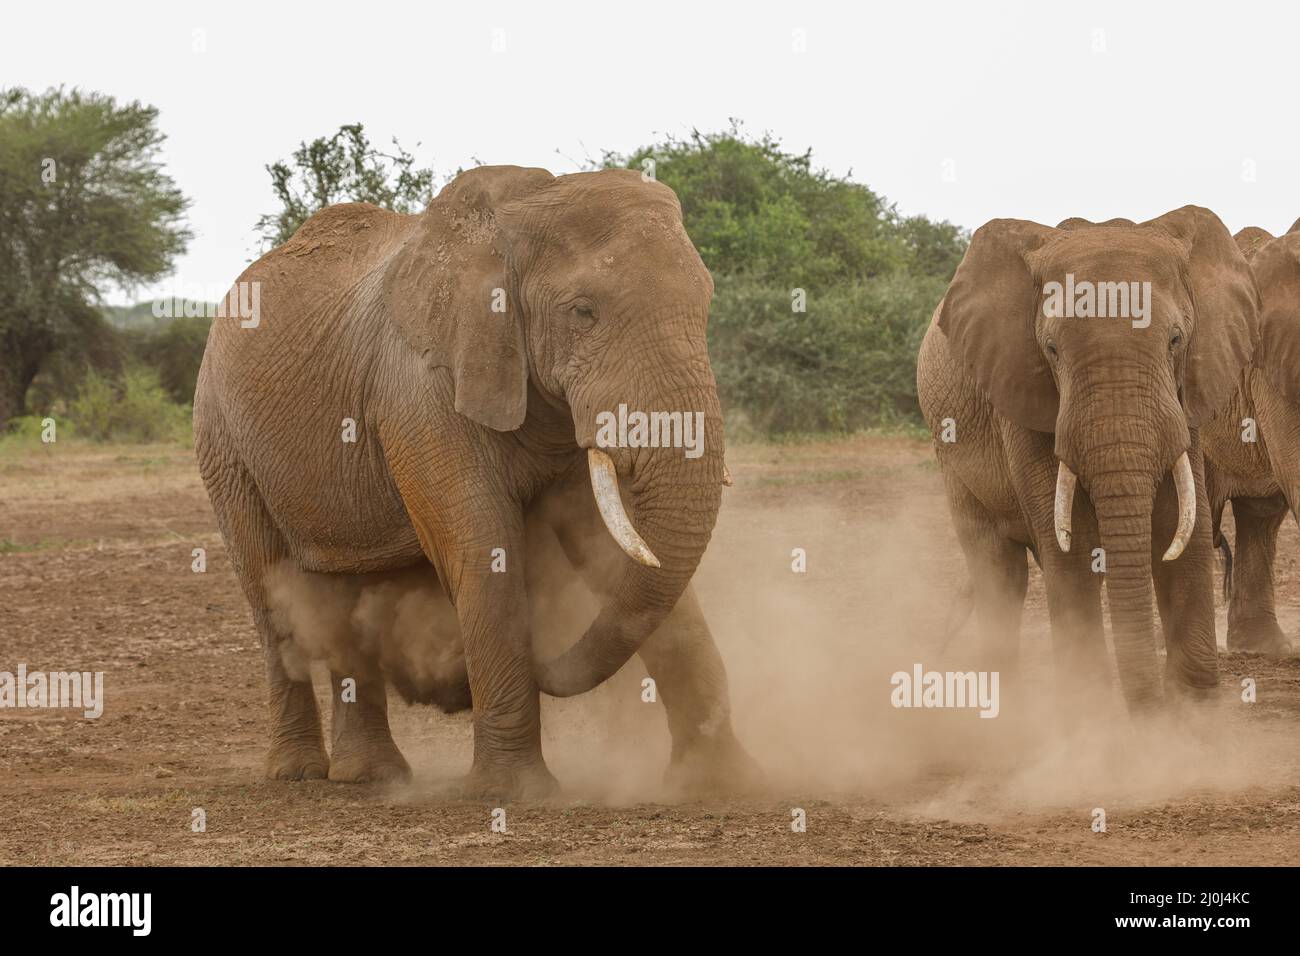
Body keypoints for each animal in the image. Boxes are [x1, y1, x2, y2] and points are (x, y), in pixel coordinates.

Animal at [193, 165, 758, 798]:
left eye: (705, 305)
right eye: (583, 311)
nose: (452, 686)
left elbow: (616, 551)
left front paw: (723, 783)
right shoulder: (419, 393)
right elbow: (483, 549)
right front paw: (515, 794)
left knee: (350, 596)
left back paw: (369, 777)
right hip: (222, 441)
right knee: (273, 596)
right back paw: (300, 775)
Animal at [917, 206, 1259, 713]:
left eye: (1176, 340)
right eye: (1052, 350)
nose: (1150, 714)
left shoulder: (1188, 394)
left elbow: (1183, 530)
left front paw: (1192, 714)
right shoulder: (1020, 386)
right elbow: (1072, 544)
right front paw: (1091, 713)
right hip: (952, 460)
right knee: (1000, 571)